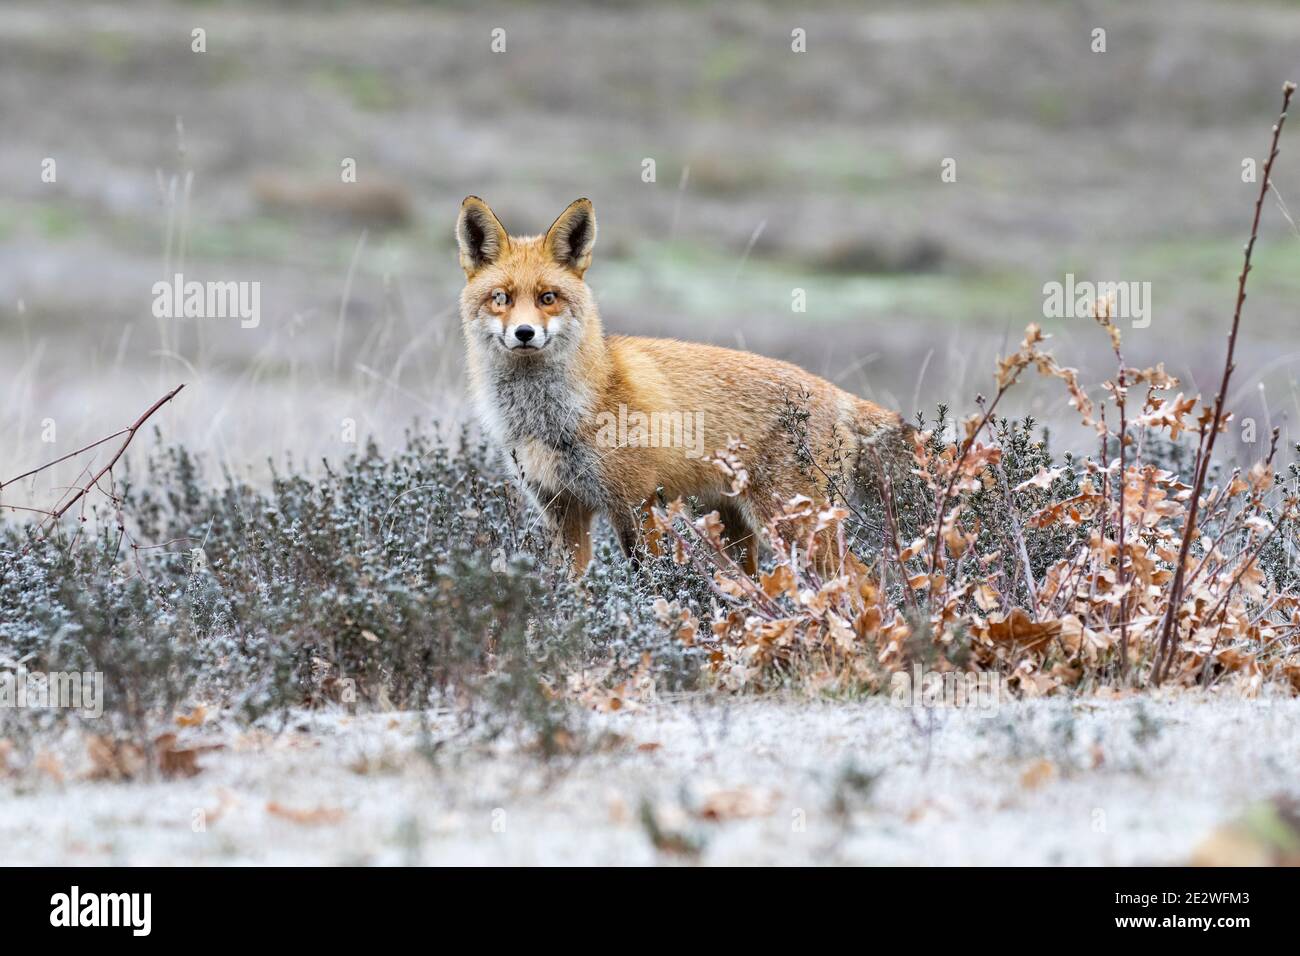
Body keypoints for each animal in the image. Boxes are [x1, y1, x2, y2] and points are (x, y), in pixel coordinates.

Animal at [456, 195, 908, 577]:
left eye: (547, 297)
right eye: (501, 298)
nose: (525, 333)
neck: (553, 416)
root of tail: (836, 393)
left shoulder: (636, 503)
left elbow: (653, 583)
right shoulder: (563, 509)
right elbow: (574, 590)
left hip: (791, 524)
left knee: (860, 581)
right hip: (736, 527)